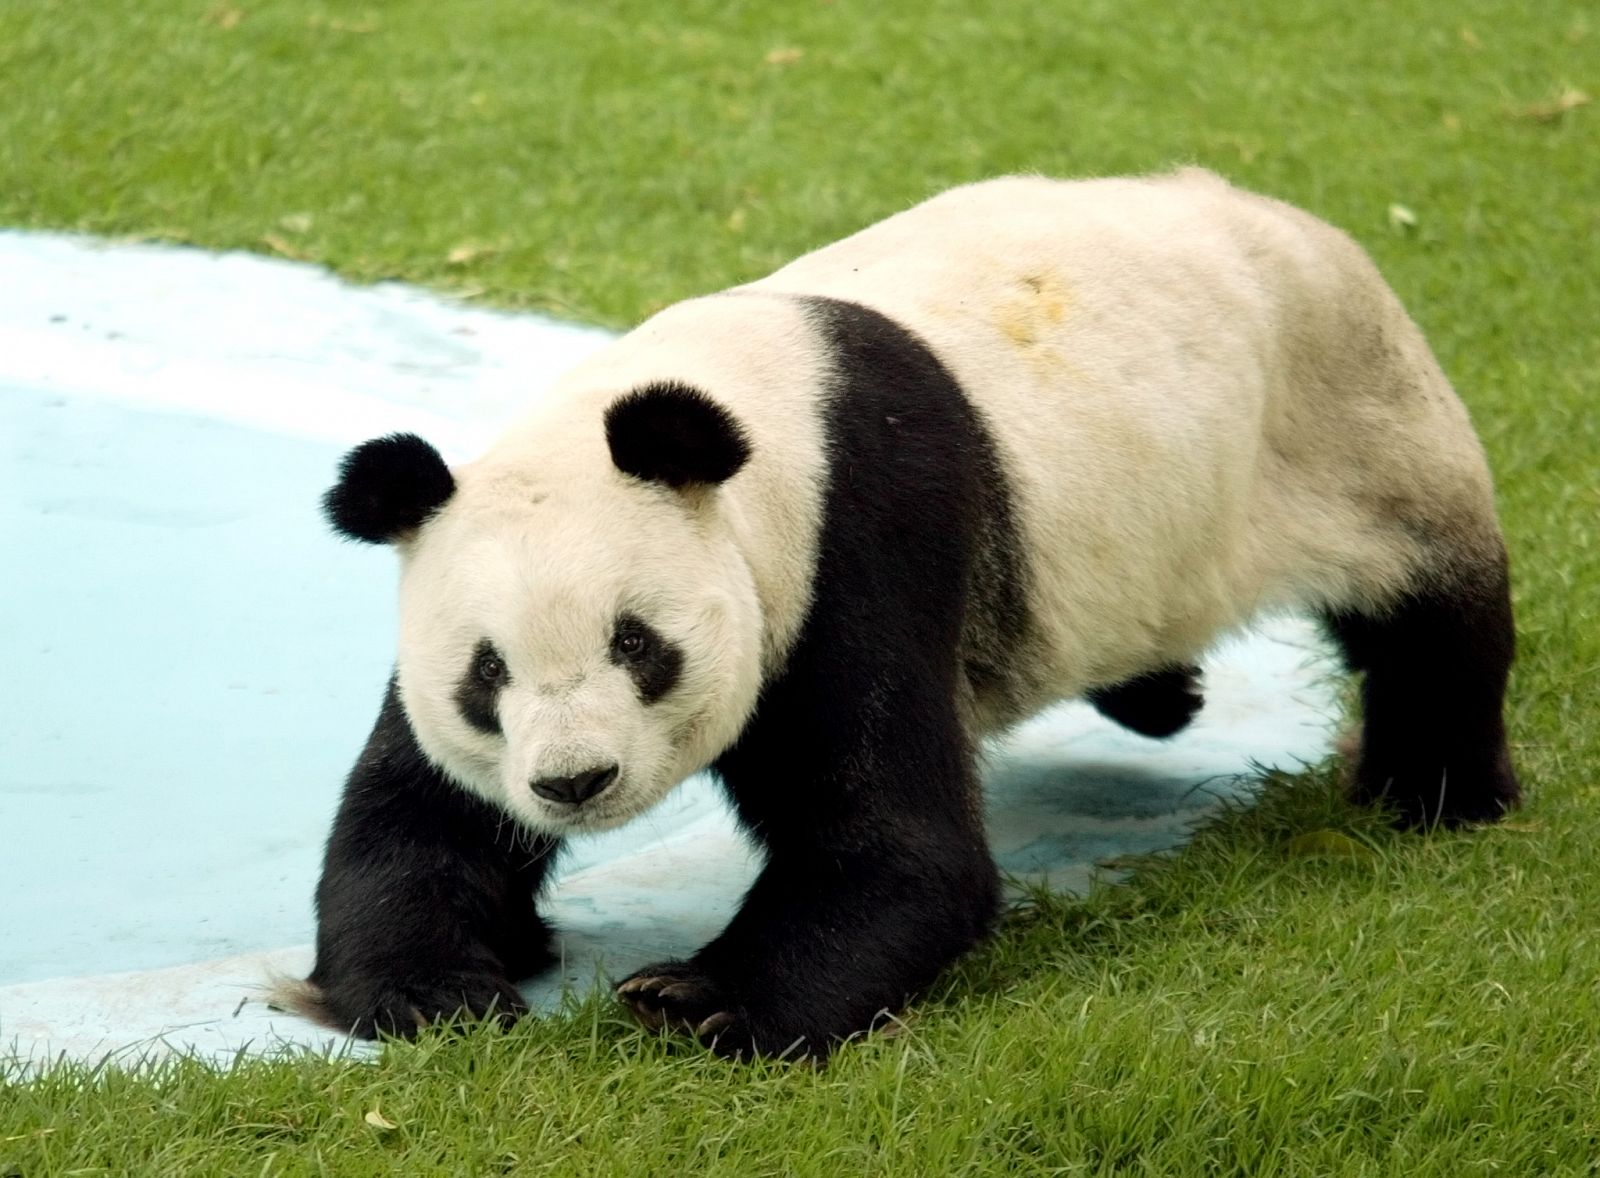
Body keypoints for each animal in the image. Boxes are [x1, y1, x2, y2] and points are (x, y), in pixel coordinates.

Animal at [279, 168, 1519, 1058]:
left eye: (637, 645)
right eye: (485, 674)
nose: (574, 782)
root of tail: (1278, 211)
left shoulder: (853, 547)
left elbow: (900, 847)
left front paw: (701, 998)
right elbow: (418, 811)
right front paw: (438, 989)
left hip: (1349, 420)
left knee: (1432, 613)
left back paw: (1435, 791)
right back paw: (1161, 691)